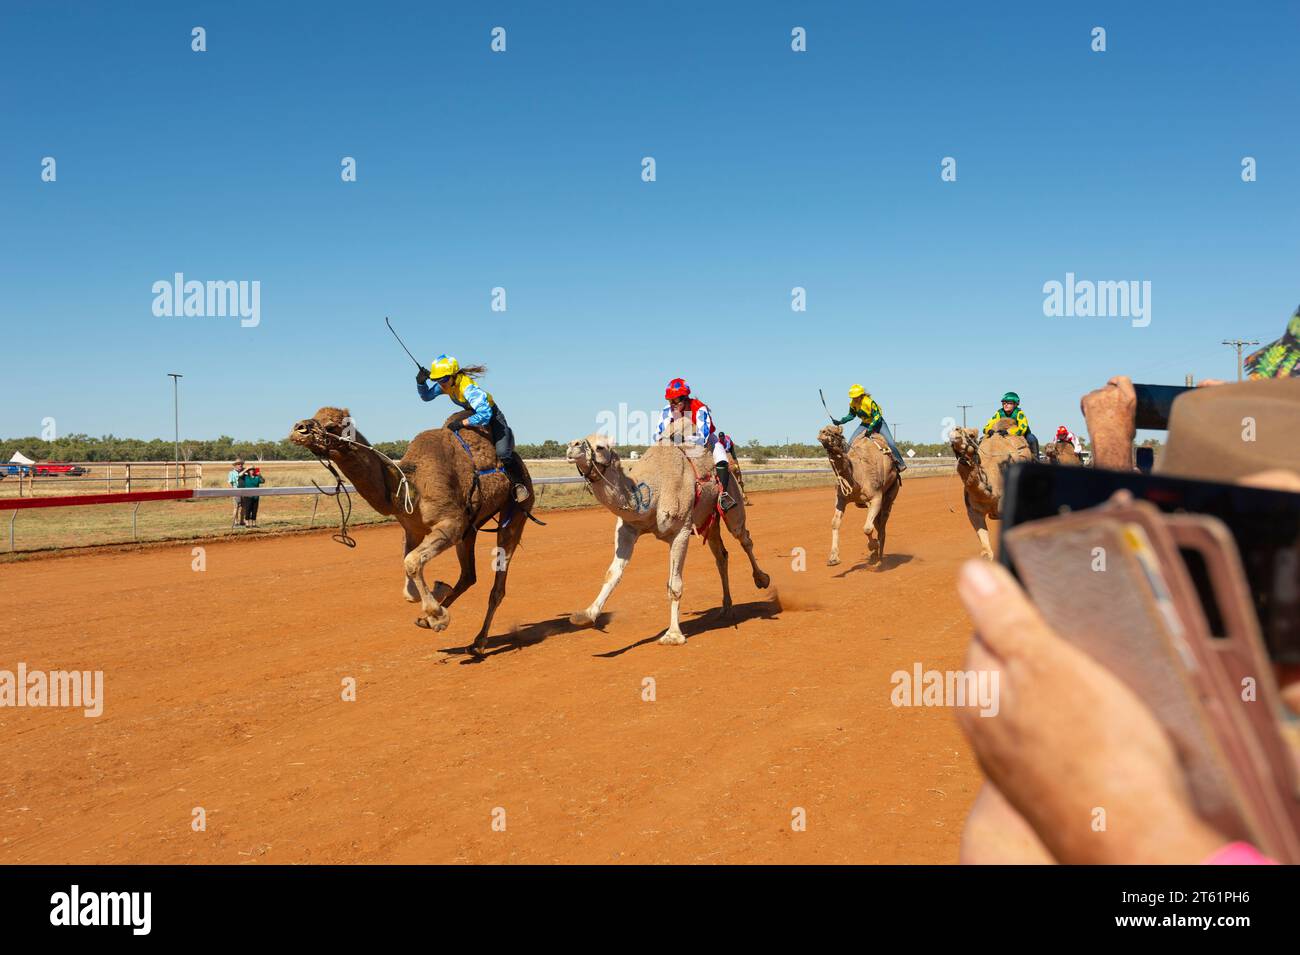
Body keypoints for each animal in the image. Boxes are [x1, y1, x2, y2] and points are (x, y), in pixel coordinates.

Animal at [289, 406, 535, 657]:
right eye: (315, 415)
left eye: (332, 425)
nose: (299, 429)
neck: (410, 486)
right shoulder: (413, 529)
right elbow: (409, 579)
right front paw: (437, 595)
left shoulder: (451, 524)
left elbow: (412, 561)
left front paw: (439, 617)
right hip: (470, 528)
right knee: (468, 575)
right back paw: (435, 619)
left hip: (514, 514)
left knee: (498, 584)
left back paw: (478, 643)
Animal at [565, 426, 770, 645]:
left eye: (601, 447)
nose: (572, 445)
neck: (650, 495)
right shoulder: (627, 529)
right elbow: (612, 574)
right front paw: (585, 615)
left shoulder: (681, 530)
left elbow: (674, 585)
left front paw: (673, 635)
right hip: (709, 519)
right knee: (721, 555)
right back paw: (726, 607)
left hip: (732, 503)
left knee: (744, 538)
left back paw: (762, 579)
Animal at [818, 424, 902, 567]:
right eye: (823, 429)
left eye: (835, 432)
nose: (822, 433)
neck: (857, 476)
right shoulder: (841, 498)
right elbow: (835, 523)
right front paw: (833, 558)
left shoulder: (876, 497)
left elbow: (867, 528)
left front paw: (872, 546)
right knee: (877, 524)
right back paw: (875, 556)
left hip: (891, 493)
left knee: (882, 527)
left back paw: (879, 558)